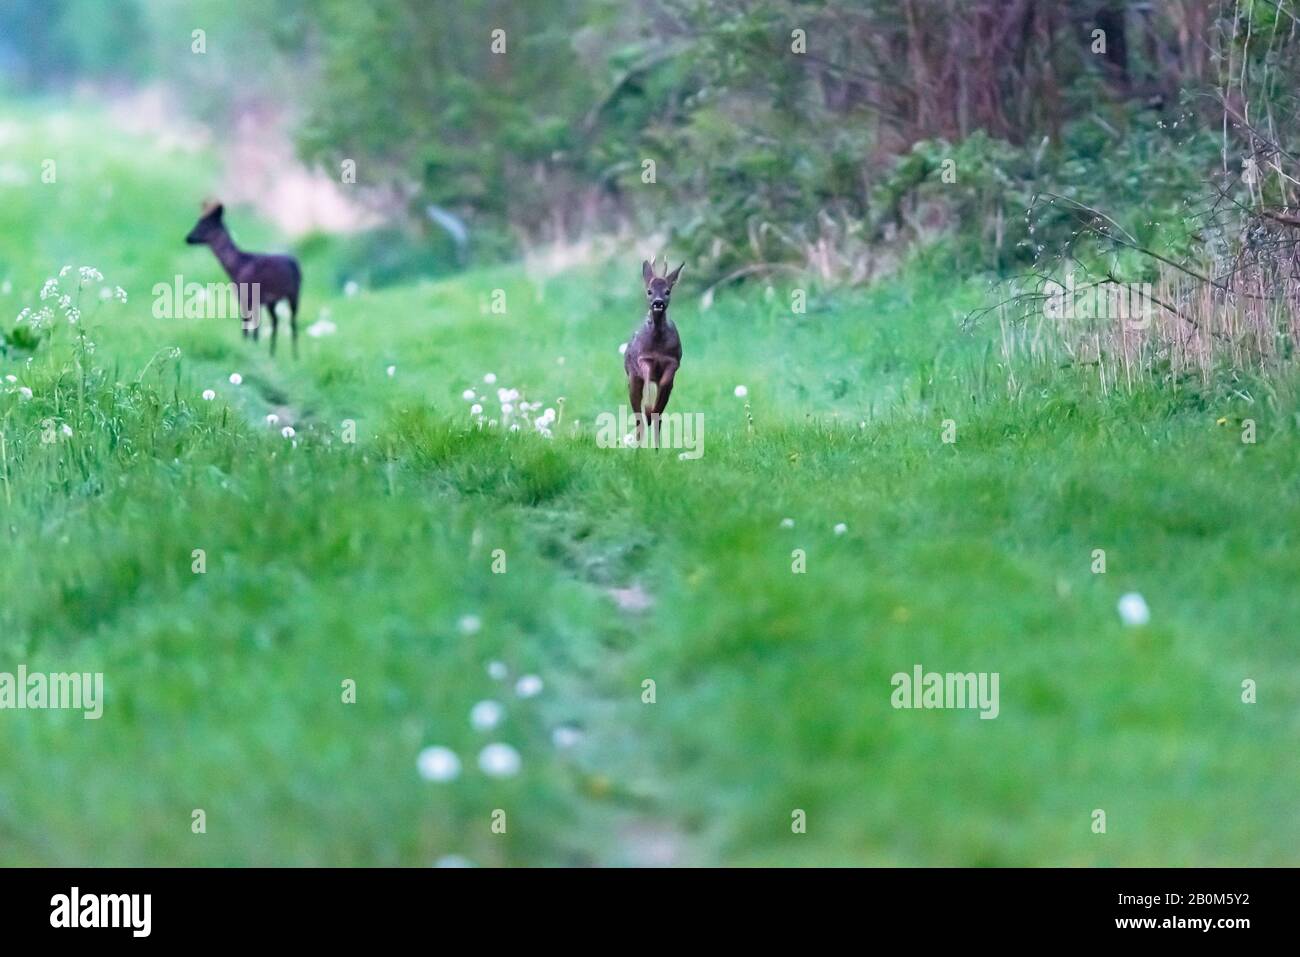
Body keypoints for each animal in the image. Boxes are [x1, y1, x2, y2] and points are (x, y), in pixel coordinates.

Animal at [185, 200, 302, 358]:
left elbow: (248, 326)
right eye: (198, 222)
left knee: (292, 323)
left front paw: (248, 348)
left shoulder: (248, 296)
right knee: (276, 321)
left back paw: (295, 356)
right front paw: (253, 349)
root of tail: (296, 264)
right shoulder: (252, 299)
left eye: (204, 224)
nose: (188, 238)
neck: (237, 267)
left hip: (294, 294)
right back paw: (272, 353)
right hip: (273, 301)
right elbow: (254, 328)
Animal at [624, 256, 685, 446]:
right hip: (632, 379)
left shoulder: (673, 362)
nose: (658, 302)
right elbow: (648, 380)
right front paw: (648, 410)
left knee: (659, 418)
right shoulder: (643, 359)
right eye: (649, 291)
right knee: (637, 418)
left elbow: (664, 383)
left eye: (667, 291)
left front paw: (652, 411)